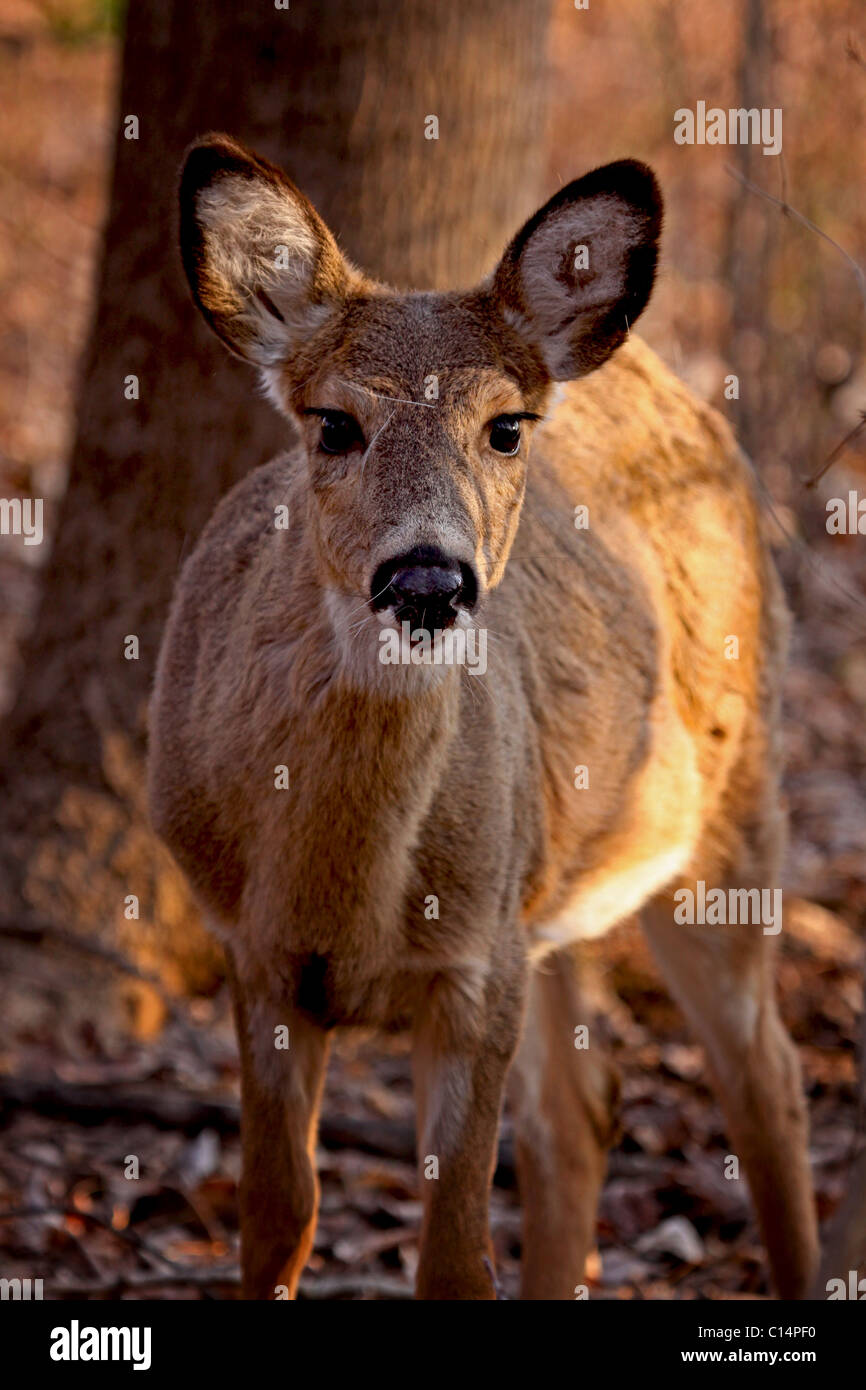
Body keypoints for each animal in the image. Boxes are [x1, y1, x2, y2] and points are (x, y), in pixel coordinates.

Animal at [148, 134, 819, 1301]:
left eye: (504, 428)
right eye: (333, 423)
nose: (427, 577)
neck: (341, 894)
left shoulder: (475, 963)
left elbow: (456, 1258)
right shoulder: (257, 957)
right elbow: (277, 1220)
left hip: (730, 815)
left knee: (766, 1077)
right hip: (553, 882)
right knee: (581, 1115)